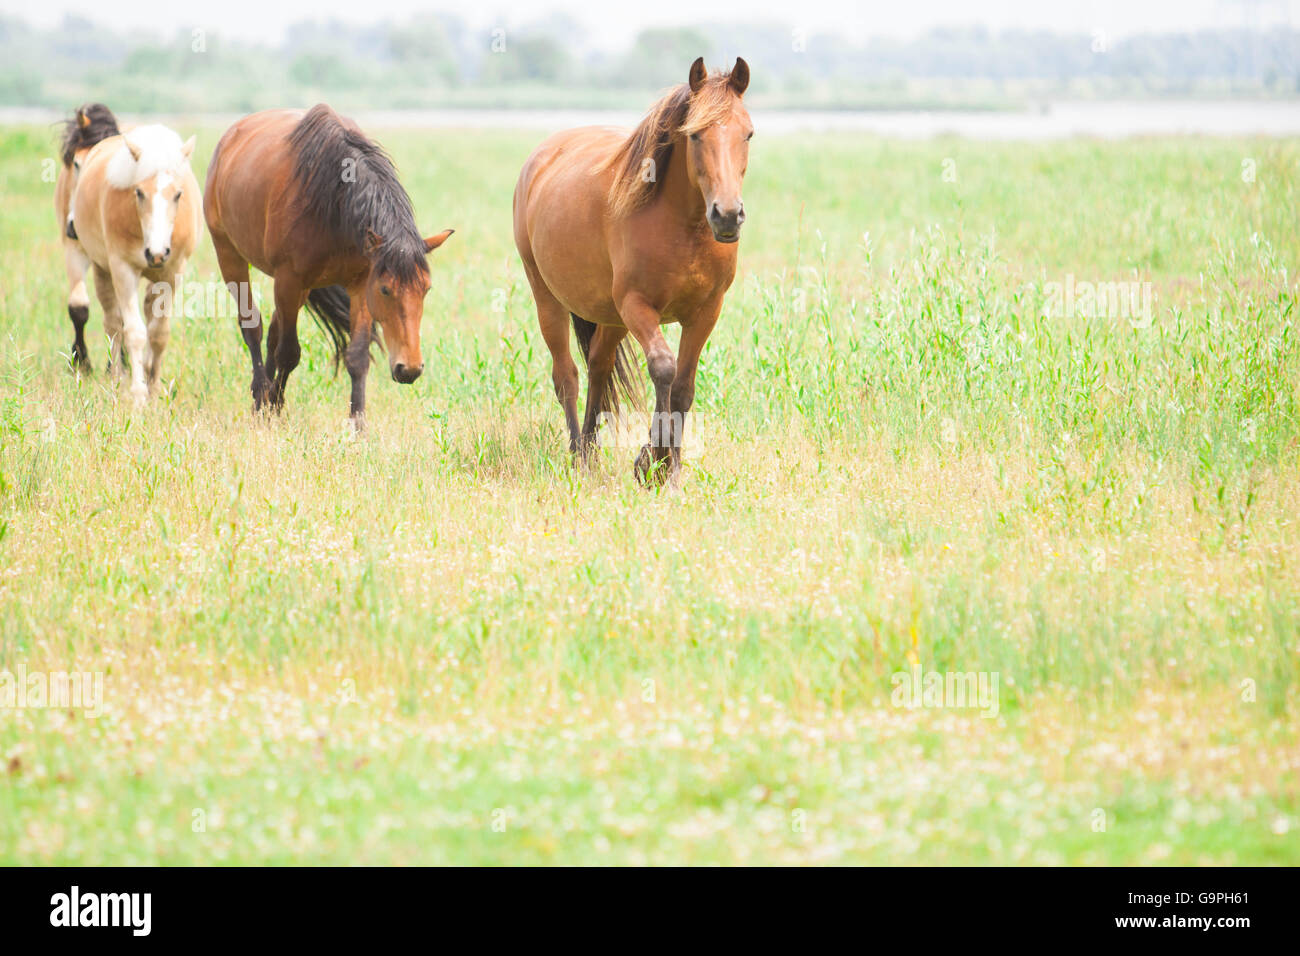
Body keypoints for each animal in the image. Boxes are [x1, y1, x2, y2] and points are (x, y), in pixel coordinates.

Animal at [71, 124, 202, 406]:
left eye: (178, 194)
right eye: (139, 192)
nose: (157, 253)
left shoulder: (173, 273)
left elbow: (159, 334)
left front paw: (154, 388)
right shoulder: (122, 270)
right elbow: (134, 331)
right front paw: (139, 395)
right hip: (102, 270)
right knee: (113, 324)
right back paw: (117, 379)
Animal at [202, 105, 454, 425]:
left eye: (426, 289)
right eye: (386, 290)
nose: (409, 369)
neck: (334, 202)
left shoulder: (360, 282)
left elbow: (357, 356)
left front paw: (357, 426)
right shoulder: (290, 279)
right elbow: (289, 353)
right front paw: (275, 406)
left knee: (272, 332)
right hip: (231, 256)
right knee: (254, 328)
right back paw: (261, 396)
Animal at [513, 57, 752, 488]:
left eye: (748, 134)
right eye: (695, 136)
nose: (727, 215)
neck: (683, 225)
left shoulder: (706, 312)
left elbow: (683, 386)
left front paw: (670, 469)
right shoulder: (637, 306)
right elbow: (663, 368)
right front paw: (654, 460)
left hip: (610, 318)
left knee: (598, 367)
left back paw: (590, 452)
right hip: (549, 299)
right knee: (567, 377)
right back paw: (578, 458)